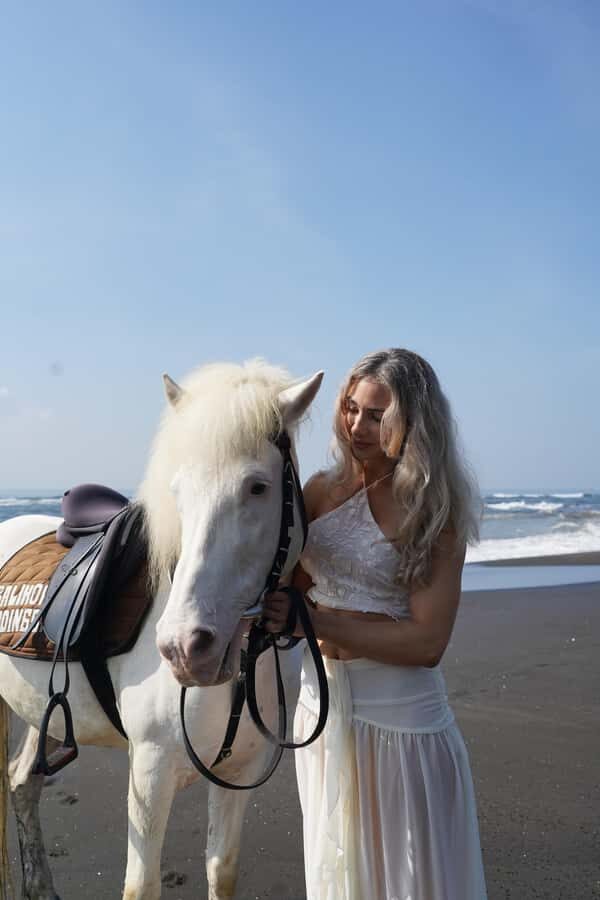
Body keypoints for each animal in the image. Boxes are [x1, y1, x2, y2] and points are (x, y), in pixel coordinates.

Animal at [0, 358, 323, 900]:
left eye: (258, 486)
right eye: (177, 492)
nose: (185, 648)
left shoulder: (239, 772)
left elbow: (222, 868)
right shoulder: (150, 771)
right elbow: (141, 885)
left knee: (22, 783)